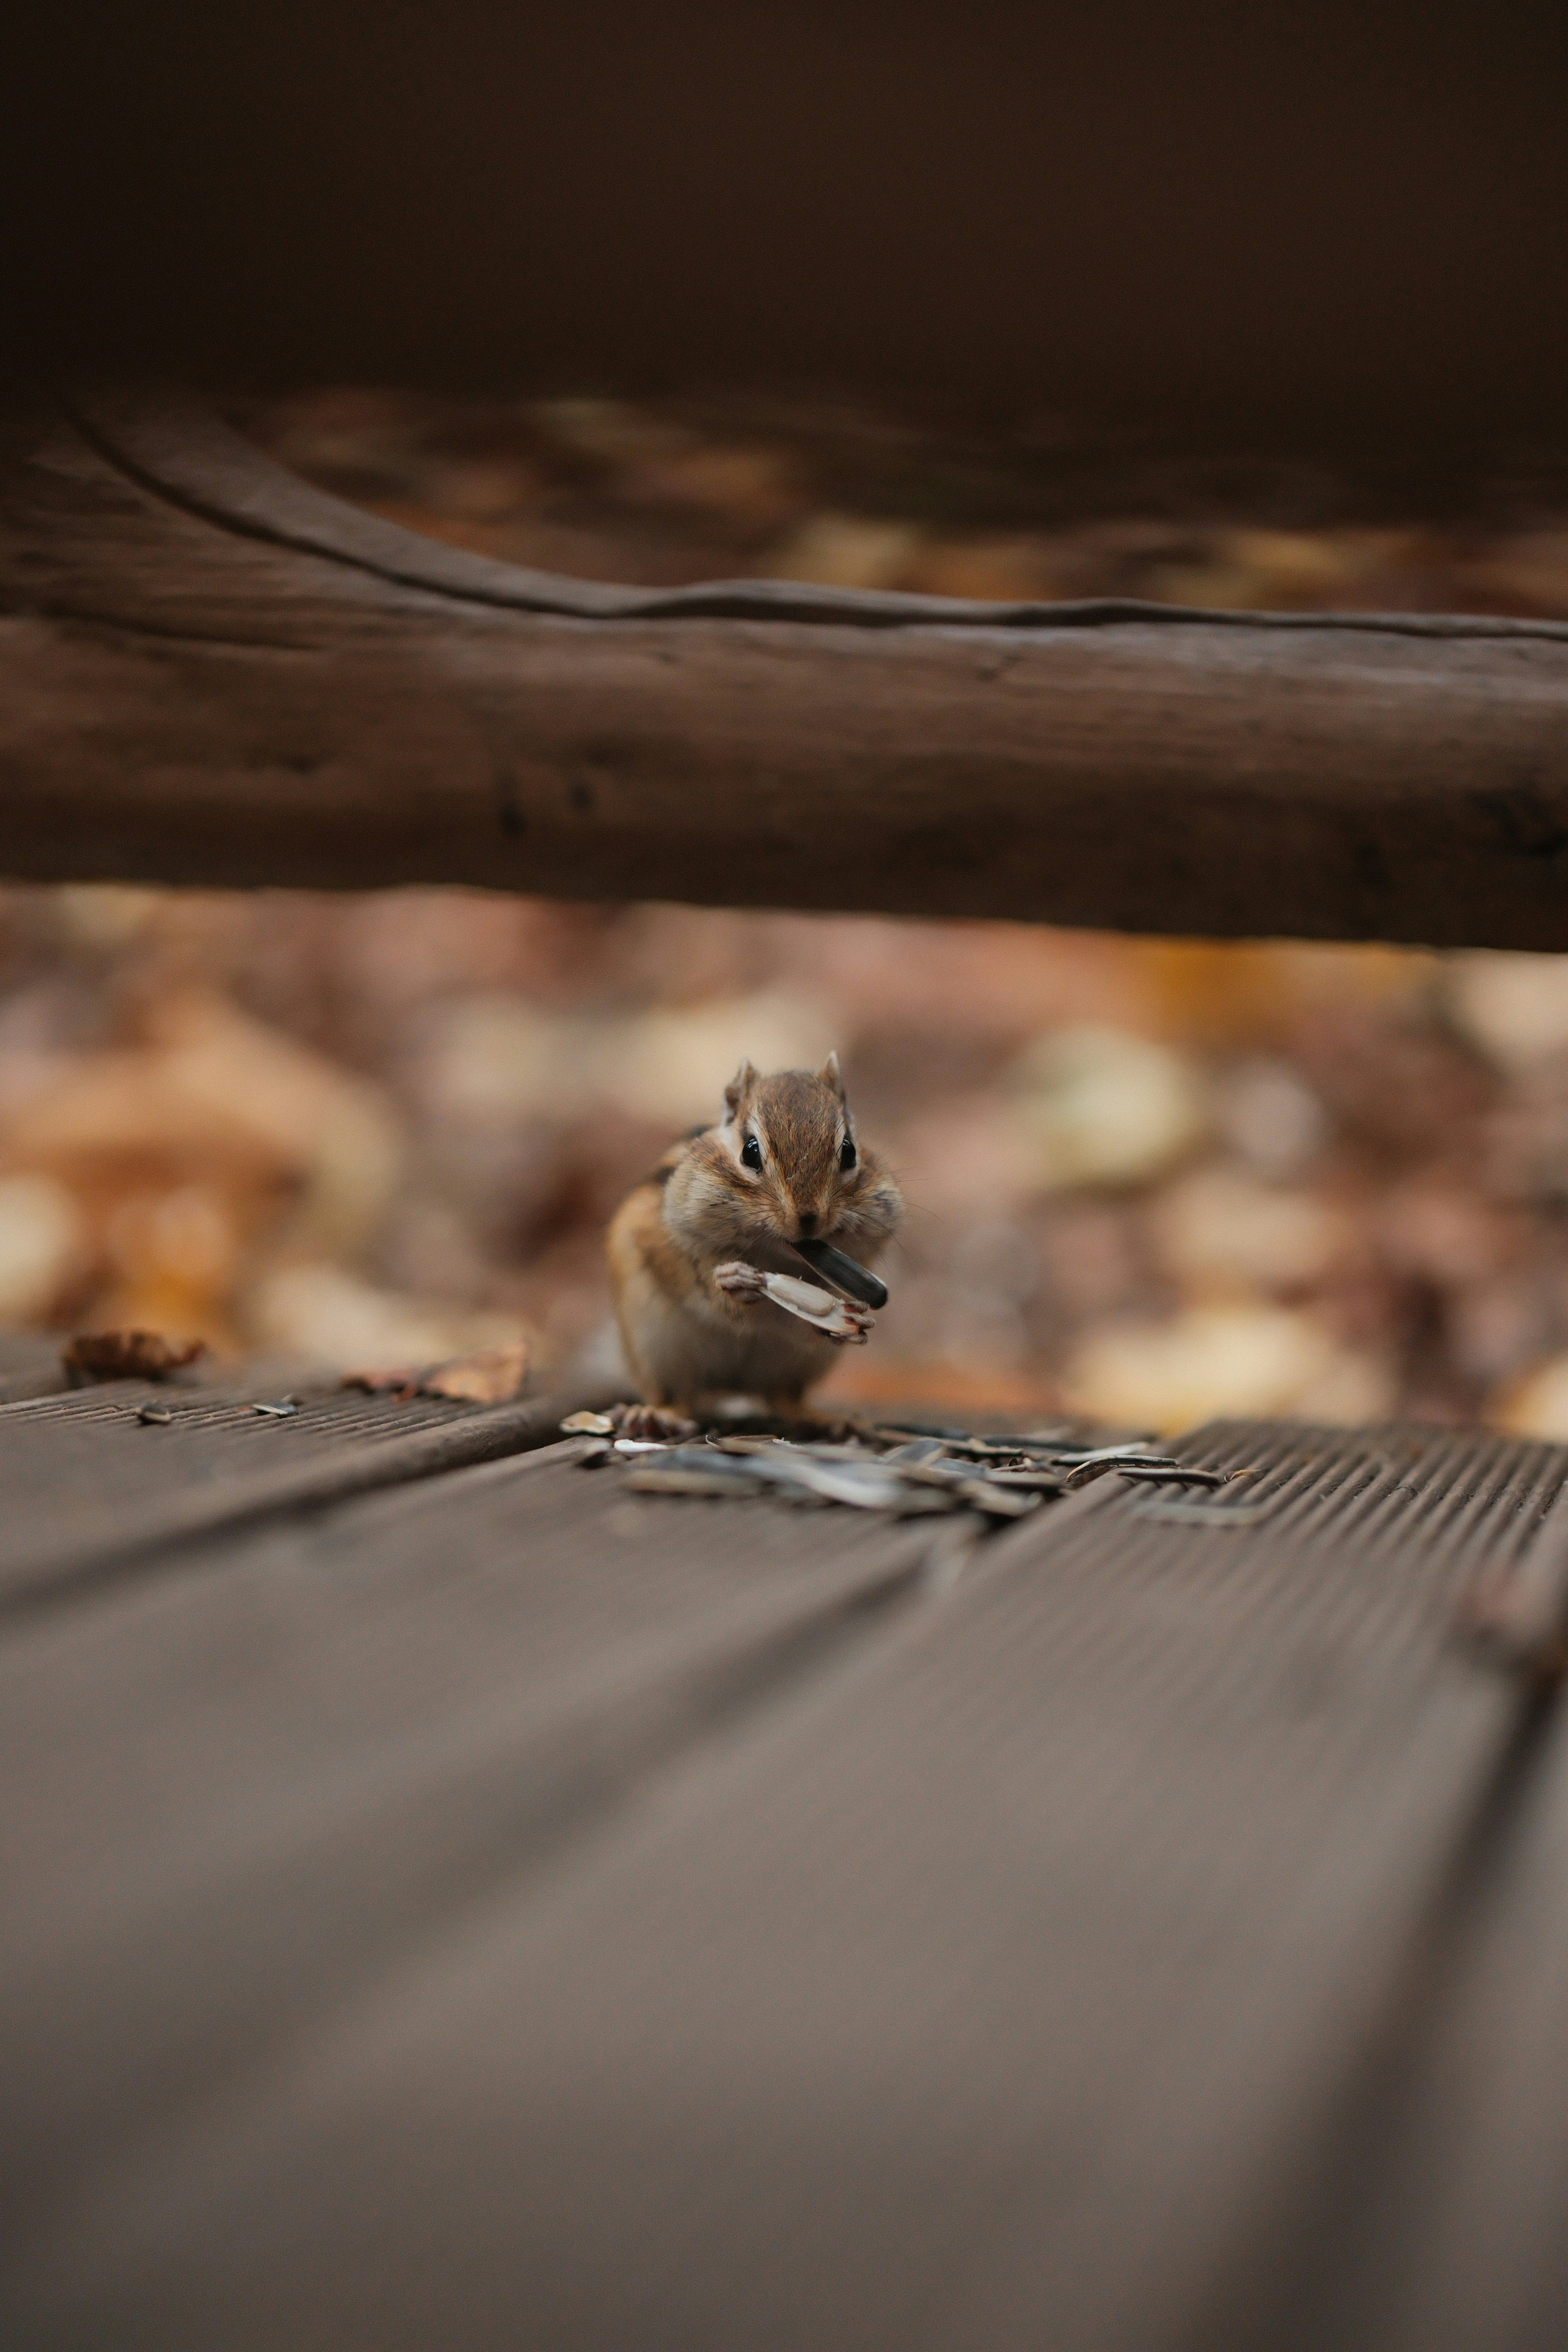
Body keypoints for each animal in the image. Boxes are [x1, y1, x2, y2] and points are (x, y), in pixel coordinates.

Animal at [606, 1053, 902, 1426]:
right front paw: (733, 1281)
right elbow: (701, 1283)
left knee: (784, 1400)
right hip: (655, 1351)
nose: (808, 1219)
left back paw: (831, 1420)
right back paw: (656, 1417)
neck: (775, 1258)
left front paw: (851, 1318)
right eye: (750, 1152)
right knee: (681, 1399)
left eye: (849, 1151)